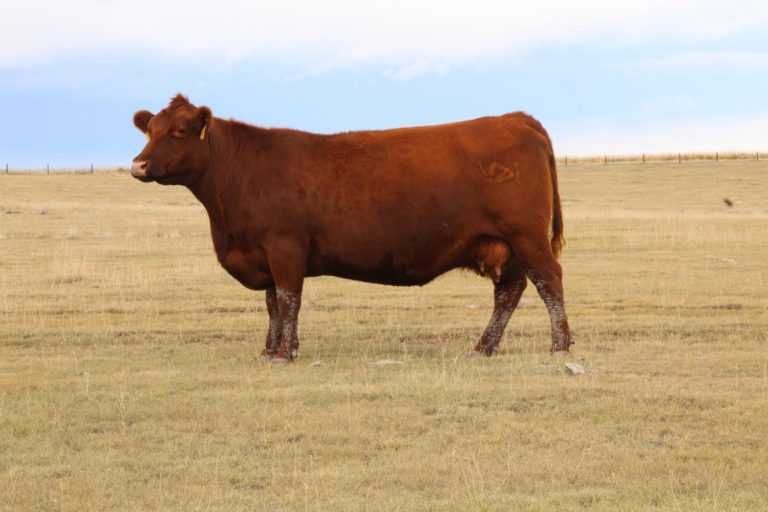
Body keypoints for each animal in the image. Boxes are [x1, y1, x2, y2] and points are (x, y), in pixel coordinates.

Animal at [131, 94, 573, 363]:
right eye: (149, 130)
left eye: (180, 131)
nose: (138, 164)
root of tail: (516, 119)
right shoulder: (266, 256)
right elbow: (273, 305)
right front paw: (269, 350)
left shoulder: (285, 249)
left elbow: (289, 302)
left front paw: (286, 353)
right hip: (504, 246)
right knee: (509, 292)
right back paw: (483, 347)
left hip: (527, 237)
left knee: (549, 282)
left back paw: (559, 346)